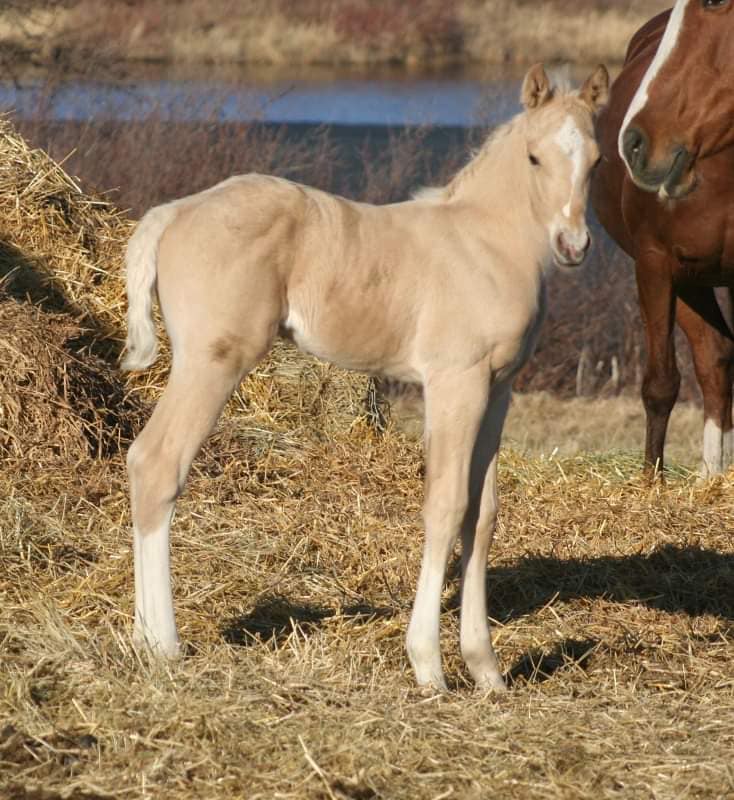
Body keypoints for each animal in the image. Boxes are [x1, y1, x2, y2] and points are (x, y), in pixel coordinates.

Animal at [123, 63, 608, 692]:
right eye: (533, 157)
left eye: (596, 160)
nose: (572, 245)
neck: (486, 243)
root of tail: (174, 212)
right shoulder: (456, 383)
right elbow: (445, 505)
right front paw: (429, 666)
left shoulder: (498, 390)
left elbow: (482, 515)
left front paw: (486, 670)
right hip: (211, 361)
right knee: (157, 463)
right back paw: (165, 645)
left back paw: (142, 639)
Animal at [592, 2, 734, 478]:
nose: (634, 143)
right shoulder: (654, 264)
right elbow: (660, 384)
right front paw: (651, 481)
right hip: (688, 282)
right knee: (713, 361)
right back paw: (711, 476)